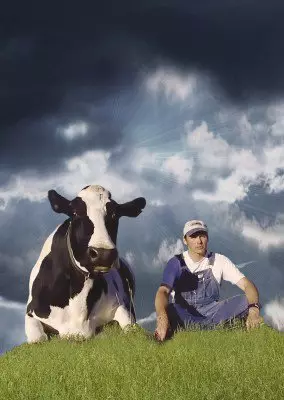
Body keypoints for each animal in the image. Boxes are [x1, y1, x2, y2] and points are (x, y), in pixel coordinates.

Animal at [25, 183, 146, 342]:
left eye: (115, 214)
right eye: (76, 212)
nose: (103, 253)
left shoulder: (122, 306)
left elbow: (132, 329)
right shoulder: (31, 312)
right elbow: (38, 338)